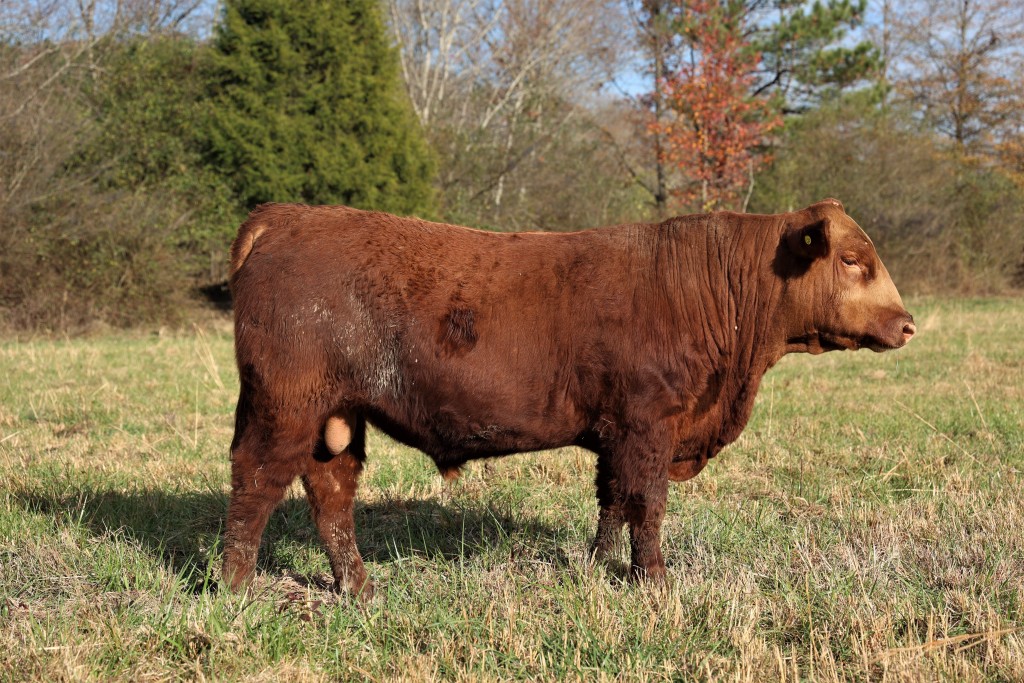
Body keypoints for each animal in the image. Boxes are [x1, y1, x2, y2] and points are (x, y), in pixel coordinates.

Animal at [222, 199, 915, 597]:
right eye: (853, 259)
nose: (908, 324)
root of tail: (288, 215)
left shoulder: (616, 432)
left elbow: (612, 500)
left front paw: (597, 564)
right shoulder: (649, 424)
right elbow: (647, 504)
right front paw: (653, 580)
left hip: (334, 417)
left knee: (331, 492)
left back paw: (359, 589)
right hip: (284, 406)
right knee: (256, 481)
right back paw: (237, 588)